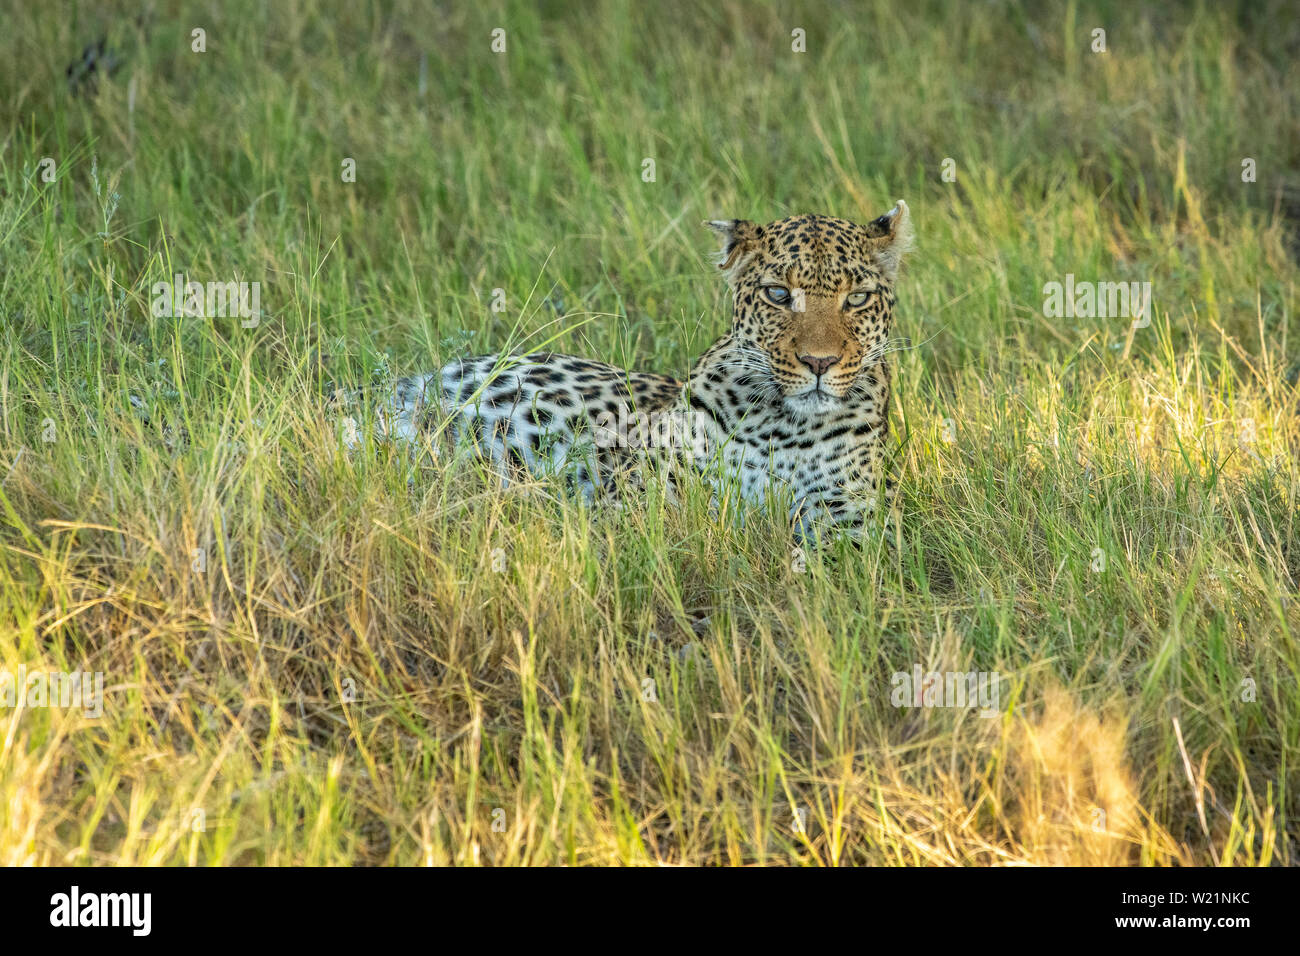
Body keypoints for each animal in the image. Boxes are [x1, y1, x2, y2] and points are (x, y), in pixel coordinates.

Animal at [352, 200, 913, 540]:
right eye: (778, 294)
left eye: (857, 299)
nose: (819, 362)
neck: (782, 423)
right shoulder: (641, 479)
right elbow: (637, 511)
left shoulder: (848, 506)